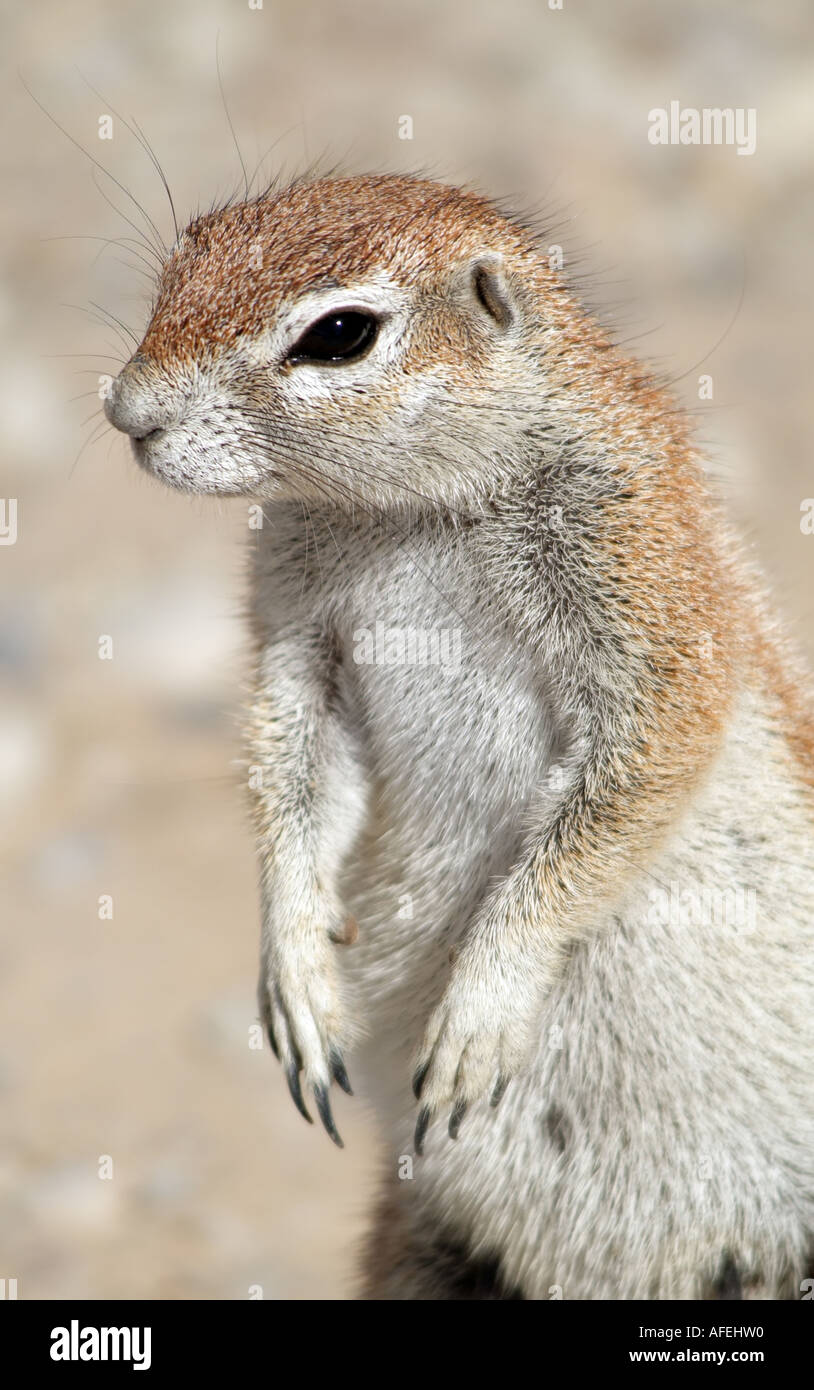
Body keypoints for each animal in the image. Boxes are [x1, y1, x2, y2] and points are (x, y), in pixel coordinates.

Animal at [104, 173, 814, 1300]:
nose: (123, 410)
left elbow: (626, 788)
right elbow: (289, 762)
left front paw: (479, 1013)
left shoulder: (644, 584)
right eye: (191, 249)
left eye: (339, 334)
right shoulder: (300, 638)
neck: (412, 516)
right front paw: (295, 976)